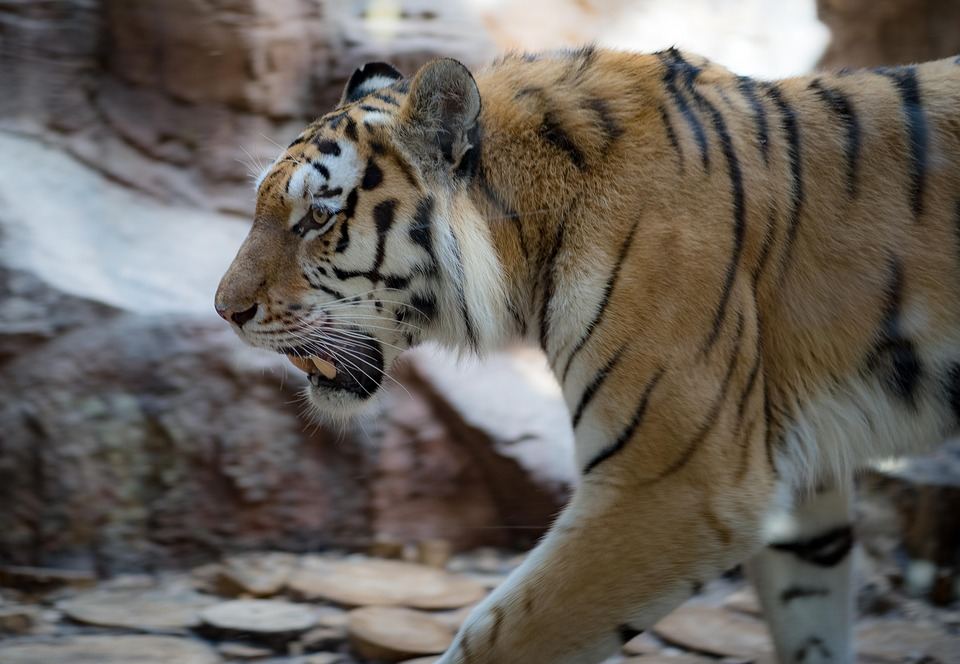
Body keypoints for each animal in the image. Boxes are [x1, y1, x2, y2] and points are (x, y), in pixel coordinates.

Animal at [216, 48, 960, 664]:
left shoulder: (680, 482)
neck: (530, 231)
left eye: (317, 216)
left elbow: (501, 634)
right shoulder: (795, 476)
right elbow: (812, 621)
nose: (226, 311)